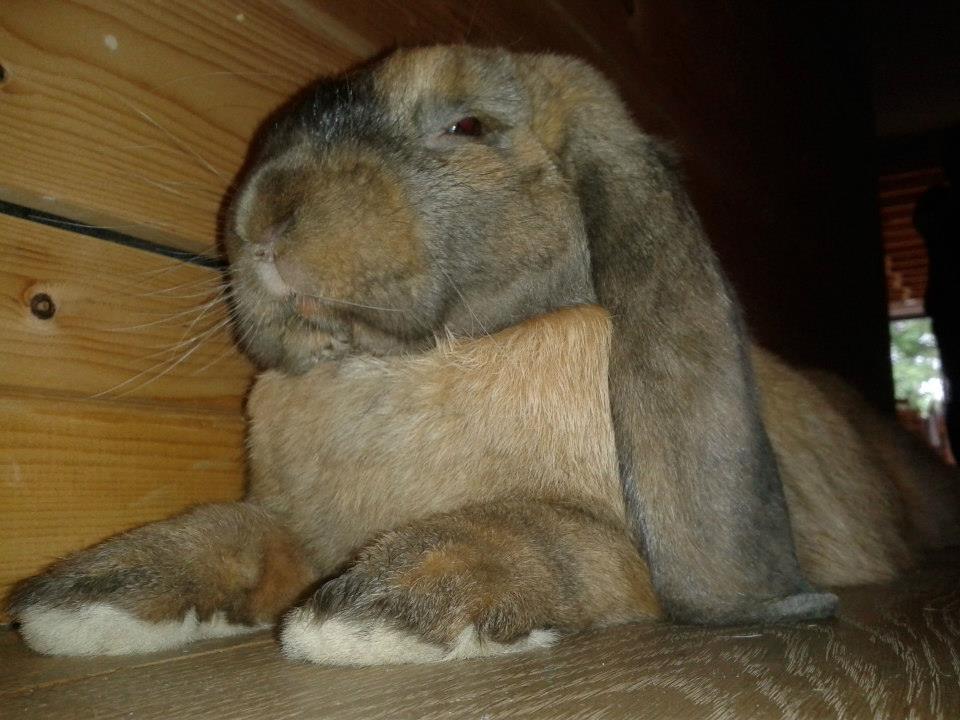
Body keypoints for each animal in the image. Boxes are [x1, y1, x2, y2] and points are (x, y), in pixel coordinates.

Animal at [9, 45, 957, 664]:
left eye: (467, 125)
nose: (263, 218)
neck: (399, 363)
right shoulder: (295, 524)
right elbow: (240, 529)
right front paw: (88, 597)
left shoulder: (614, 544)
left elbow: (558, 535)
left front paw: (382, 610)